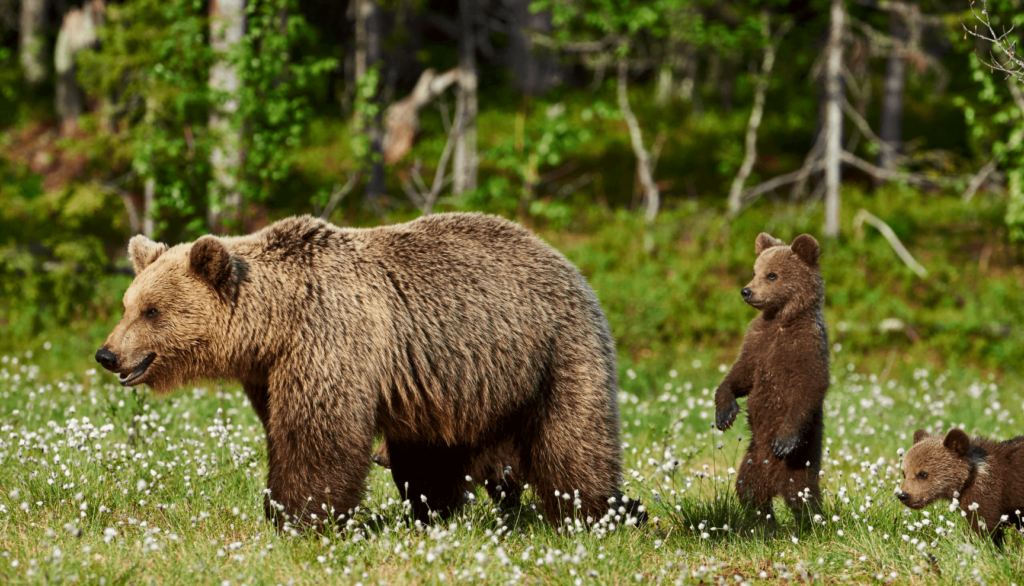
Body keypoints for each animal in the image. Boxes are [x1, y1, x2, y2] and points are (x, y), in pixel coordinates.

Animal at [94, 213, 642, 530]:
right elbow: (283, 429)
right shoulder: (270, 372)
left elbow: (318, 433)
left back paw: (601, 513)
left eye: (152, 311)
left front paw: (299, 517)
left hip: (553, 352)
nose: (108, 354)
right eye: (127, 305)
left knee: (572, 442)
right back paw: (434, 513)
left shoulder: (330, 339)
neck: (274, 325)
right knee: (431, 456)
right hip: (451, 384)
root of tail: (565, 261)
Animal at [713, 232, 830, 521]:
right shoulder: (758, 343)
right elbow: (740, 375)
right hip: (751, 460)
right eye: (755, 271)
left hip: (800, 465)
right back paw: (764, 523)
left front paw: (784, 441)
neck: (781, 320)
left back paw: (810, 523)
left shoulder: (806, 348)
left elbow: (810, 387)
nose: (746, 291)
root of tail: (775, 484)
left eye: (772, 275)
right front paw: (725, 414)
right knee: (749, 493)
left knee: (804, 498)